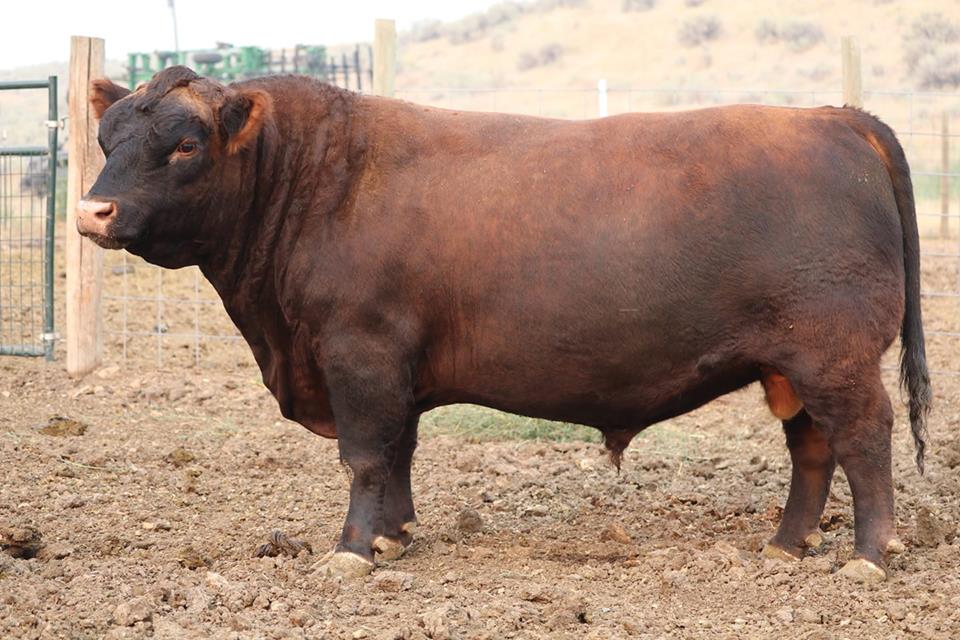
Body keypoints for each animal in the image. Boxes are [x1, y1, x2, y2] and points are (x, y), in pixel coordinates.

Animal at [77, 66, 931, 582]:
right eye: (106, 140)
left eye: (186, 145)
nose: (93, 211)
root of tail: (834, 117)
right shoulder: (397, 368)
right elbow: (400, 451)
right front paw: (393, 535)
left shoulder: (359, 352)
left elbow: (364, 456)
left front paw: (351, 552)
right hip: (794, 365)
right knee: (812, 448)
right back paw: (786, 545)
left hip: (834, 355)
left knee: (864, 438)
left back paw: (868, 555)